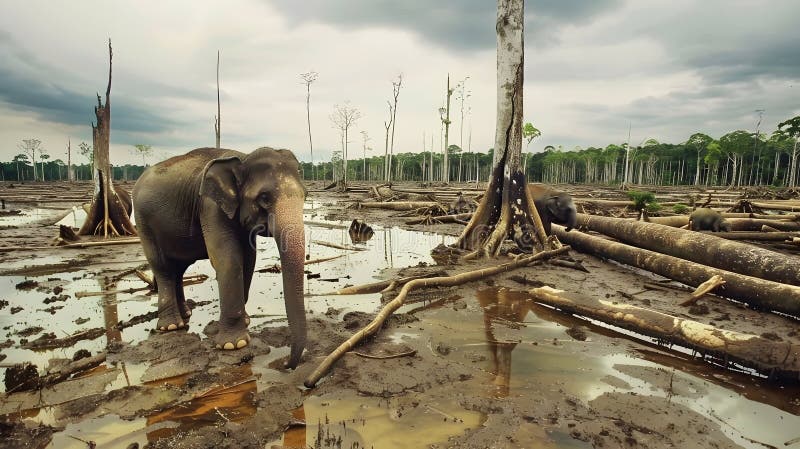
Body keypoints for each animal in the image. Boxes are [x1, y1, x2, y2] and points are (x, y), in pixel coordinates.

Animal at [132, 147, 307, 368]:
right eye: (265, 197)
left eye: (305, 195)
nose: (286, 364)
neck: (243, 157)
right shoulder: (210, 206)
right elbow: (229, 259)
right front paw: (234, 344)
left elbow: (249, 259)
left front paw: (244, 323)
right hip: (142, 221)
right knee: (162, 267)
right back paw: (171, 326)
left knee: (177, 269)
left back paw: (186, 314)